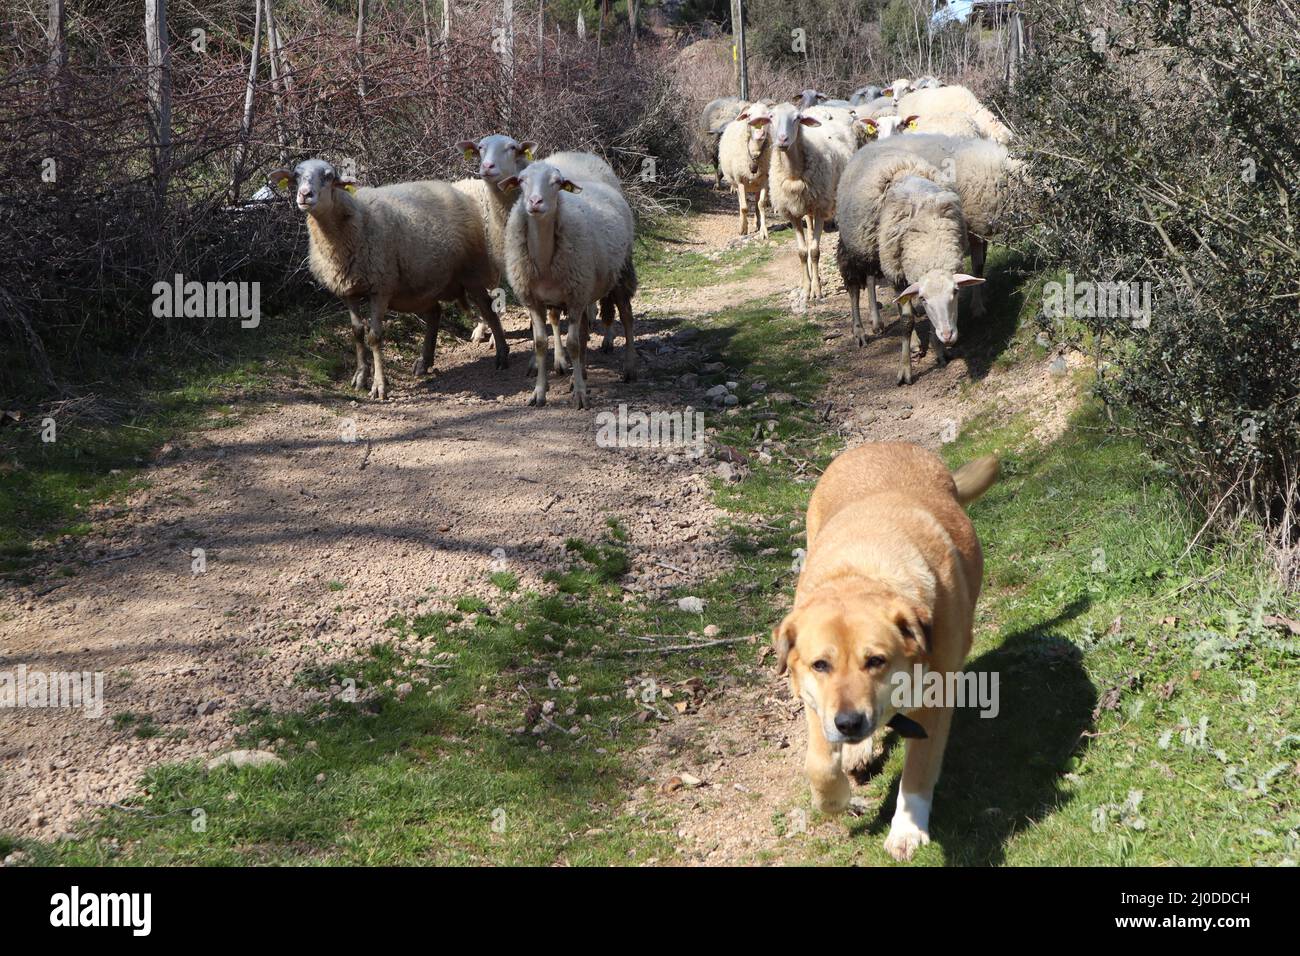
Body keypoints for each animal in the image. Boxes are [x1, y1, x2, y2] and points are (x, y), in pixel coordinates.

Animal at [267, 158, 505, 401]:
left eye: (328, 176)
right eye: (296, 176)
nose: (305, 195)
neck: (353, 220)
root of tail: (458, 191)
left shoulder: (379, 289)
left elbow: (374, 337)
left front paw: (379, 385)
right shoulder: (348, 291)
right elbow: (357, 333)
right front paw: (360, 377)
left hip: (472, 272)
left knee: (488, 308)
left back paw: (502, 355)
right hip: (418, 286)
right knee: (435, 313)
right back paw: (424, 361)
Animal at [499, 160, 637, 409]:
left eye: (557, 182)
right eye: (522, 180)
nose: (535, 202)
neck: (544, 261)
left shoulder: (575, 297)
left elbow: (572, 344)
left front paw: (581, 395)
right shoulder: (536, 301)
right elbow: (541, 343)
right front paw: (539, 393)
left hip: (619, 275)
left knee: (627, 318)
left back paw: (629, 368)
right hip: (585, 291)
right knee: (583, 333)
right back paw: (579, 376)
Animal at [717, 101, 774, 239]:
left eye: (768, 116)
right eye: (749, 115)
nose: (760, 134)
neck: (754, 153)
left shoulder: (764, 180)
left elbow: (761, 204)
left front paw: (763, 231)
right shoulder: (740, 180)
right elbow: (744, 207)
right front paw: (743, 229)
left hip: (757, 184)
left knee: (757, 204)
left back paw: (757, 223)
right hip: (736, 184)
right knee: (741, 203)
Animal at [751, 102, 857, 300]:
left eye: (797, 118)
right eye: (771, 117)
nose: (783, 140)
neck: (793, 174)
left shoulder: (821, 208)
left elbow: (814, 251)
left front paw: (816, 290)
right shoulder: (792, 212)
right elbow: (802, 252)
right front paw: (806, 288)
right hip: (806, 208)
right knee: (808, 237)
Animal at [834, 150, 985, 385]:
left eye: (956, 292)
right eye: (924, 298)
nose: (948, 335)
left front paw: (940, 351)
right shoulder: (896, 273)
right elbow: (906, 322)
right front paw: (905, 370)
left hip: (876, 248)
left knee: (871, 280)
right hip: (854, 246)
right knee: (853, 287)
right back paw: (859, 331)